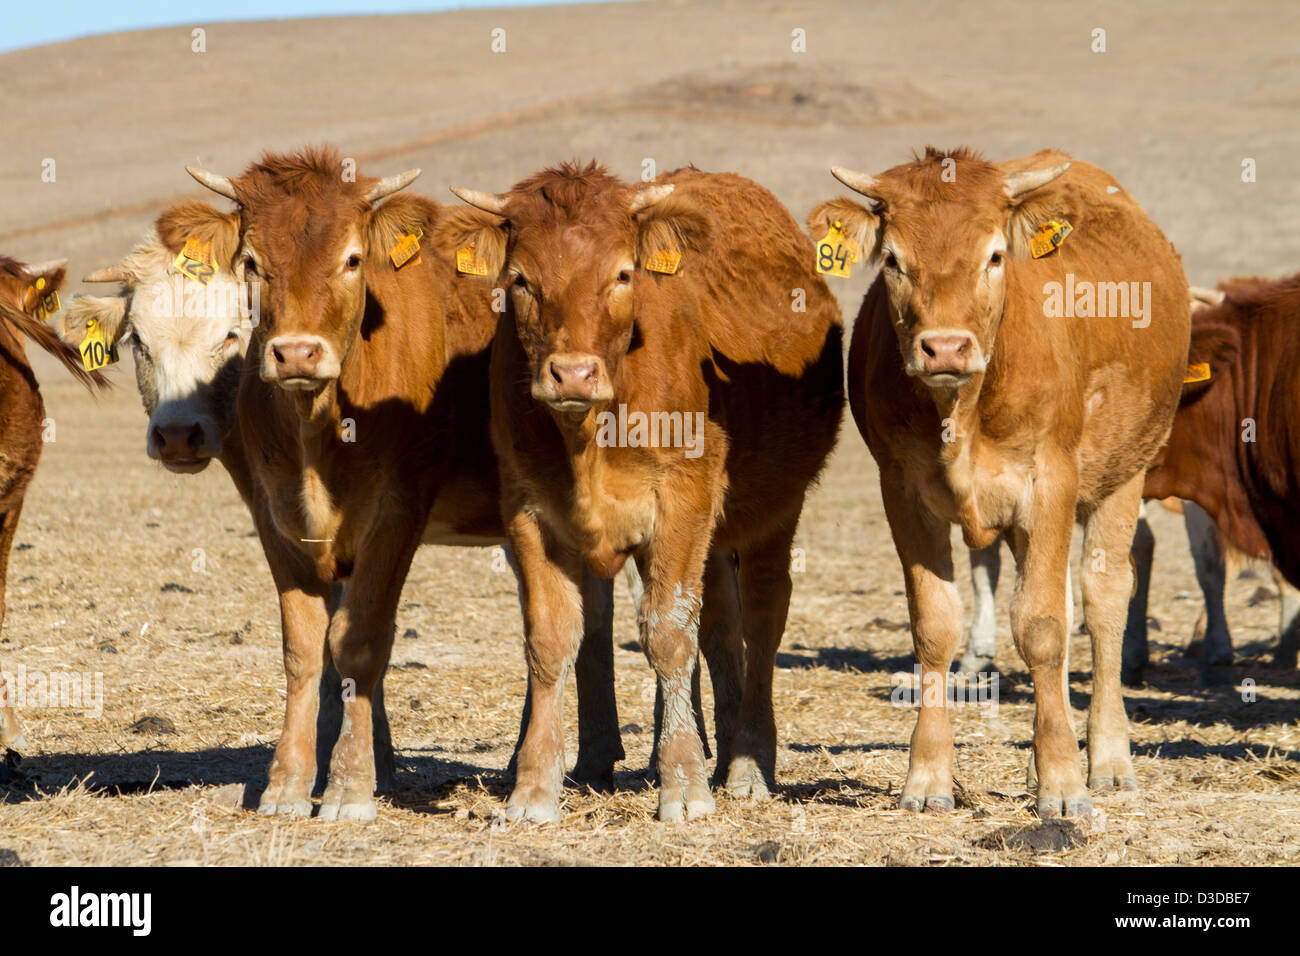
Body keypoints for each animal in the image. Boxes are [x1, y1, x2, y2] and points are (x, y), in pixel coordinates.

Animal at [449, 162, 844, 822]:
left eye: (622, 274)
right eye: (521, 280)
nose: (572, 373)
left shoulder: (683, 498)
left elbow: (667, 634)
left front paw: (682, 784)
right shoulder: (529, 510)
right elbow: (552, 640)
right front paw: (533, 789)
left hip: (773, 509)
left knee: (762, 617)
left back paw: (747, 763)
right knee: (719, 627)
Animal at [812, 147, 1189, 817]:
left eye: (993, 255)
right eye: (893, 260)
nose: (944, 348)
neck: (962, 410)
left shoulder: (1050, 484)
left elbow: (1041, 627)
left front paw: (1063, 781)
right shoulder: (902, 493)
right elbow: (935, 625)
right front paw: (928, 777)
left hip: (1125, 475)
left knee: (1102, 602)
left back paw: (1108, 757)